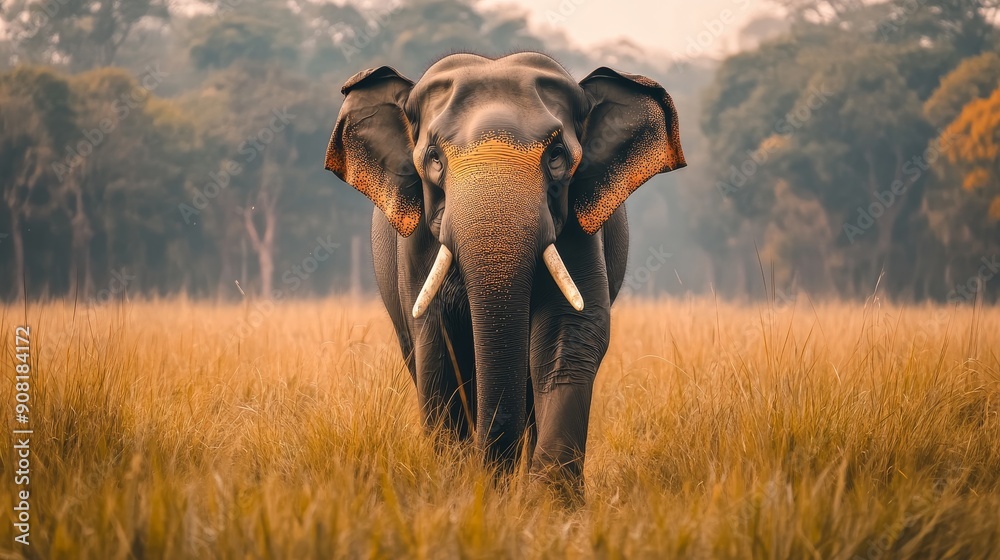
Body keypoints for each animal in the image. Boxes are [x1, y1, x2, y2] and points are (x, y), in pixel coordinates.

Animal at [324, 52, 685, 495]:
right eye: (434, 158)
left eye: (557, 155)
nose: (493, 476)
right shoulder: (417, 245)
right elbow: (438, 344)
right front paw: (459, 486)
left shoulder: (580, 227)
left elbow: (570, 331)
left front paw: (549, 500)